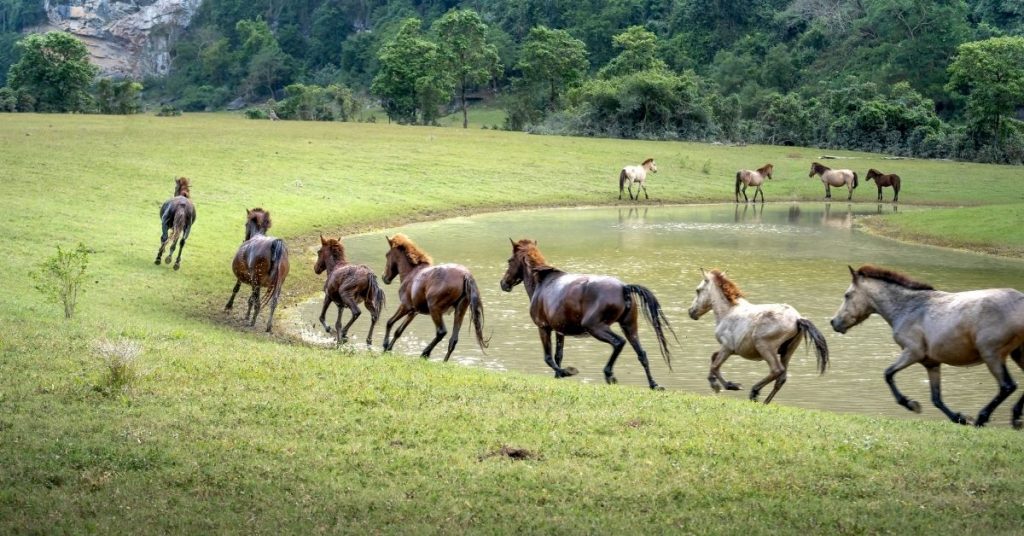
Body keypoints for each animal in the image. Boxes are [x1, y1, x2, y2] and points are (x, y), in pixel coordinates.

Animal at [500, 239, 676, 390]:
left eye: (509, 260)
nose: (503, 283)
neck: (541, 283)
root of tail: (624, 287)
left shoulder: (543, 328)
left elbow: (548, 358)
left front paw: (567, 372)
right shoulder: (559, 331)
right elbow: (558, 356)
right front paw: (558, 377)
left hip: (595, 327)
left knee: (619, 342)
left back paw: (609, 375)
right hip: (629, 326)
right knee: (641, 354)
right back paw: (654, 385)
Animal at [688, 269, 829, 403]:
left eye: (698, 290)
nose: (691, 312)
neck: (728, 312)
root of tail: (798, 319)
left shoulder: (727, 347)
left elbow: (715, 365)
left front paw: (726, 386)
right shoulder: (731, 349)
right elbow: (713, 357)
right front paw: (719, 384)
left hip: (765, 346)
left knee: (777, 370)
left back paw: (754, 392)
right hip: (788, 351)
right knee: (781, 378)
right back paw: (764, 402)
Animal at [830, 265, 1024, 427]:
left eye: (847, 295)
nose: (834, 322)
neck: (909, 308)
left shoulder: (912, 352)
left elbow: (888, 374)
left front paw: (911, 404)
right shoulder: (931, 363)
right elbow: (936, 398)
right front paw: (959, 418)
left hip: (991, 354)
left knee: (1007, 386)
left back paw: (983, 418)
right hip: (1017, 354)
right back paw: (1015, 417)